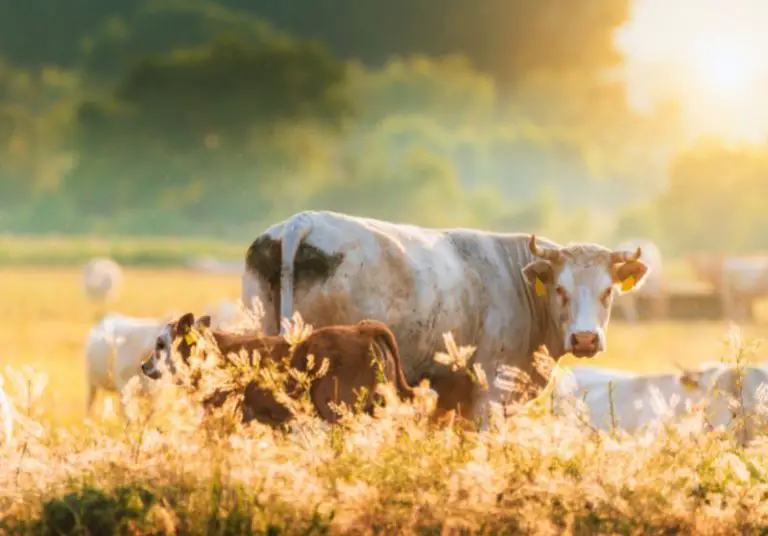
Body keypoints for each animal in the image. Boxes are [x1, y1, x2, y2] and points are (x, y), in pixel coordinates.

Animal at [241, 210, 651, 426]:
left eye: (608, 291)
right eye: (561, 289)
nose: (585, 338)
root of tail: (303, 221)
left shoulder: (450, 399)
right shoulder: (491, 396)